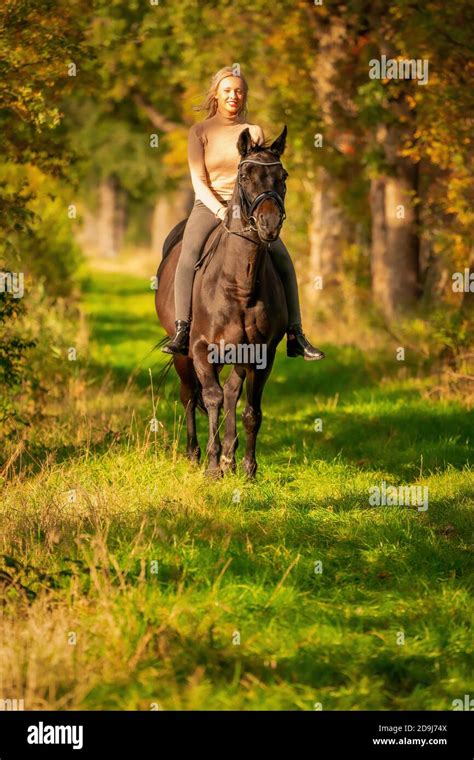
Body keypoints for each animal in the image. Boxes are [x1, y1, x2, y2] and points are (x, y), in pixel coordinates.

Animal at [155, 126, 289, 478]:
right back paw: (195, 454)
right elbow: (211, 397)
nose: (269, 224)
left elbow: (249, 409)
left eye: (283, 175)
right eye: (244, 175)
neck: (240, 284)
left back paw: (230, 456)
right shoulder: (201, 348)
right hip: (183, 355)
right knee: (190, 395)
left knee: (231, 393)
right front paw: (213, 465)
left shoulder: (261, 353)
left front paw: (247, 468)